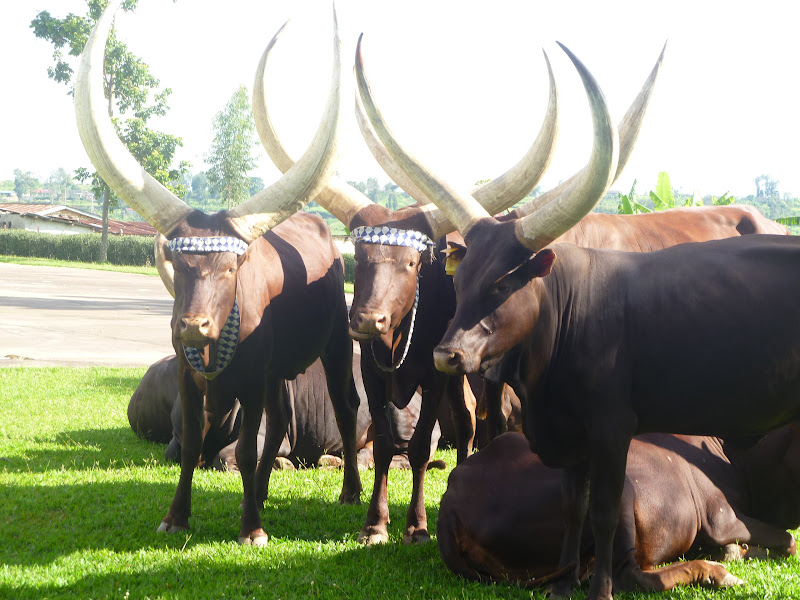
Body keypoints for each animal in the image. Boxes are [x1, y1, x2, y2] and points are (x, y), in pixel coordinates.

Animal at [76, 2, 361, 546]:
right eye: (178, 263)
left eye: (231, 267)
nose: (192, 325)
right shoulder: (190, 380)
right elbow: (190, 446)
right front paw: (177, 516)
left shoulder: (250, 382)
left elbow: (245, 451)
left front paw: (251, 529)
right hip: (276, 371)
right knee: (280, 422)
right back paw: (266, 492)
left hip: (334, 343)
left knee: (348, 403)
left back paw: (350, 493)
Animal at [437, 430, 799, 590]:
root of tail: (451, 501)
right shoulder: (721, 517)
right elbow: (788, 540)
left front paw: (738, 551)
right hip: (619, 488)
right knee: (633, 575)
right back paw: (714, 573)